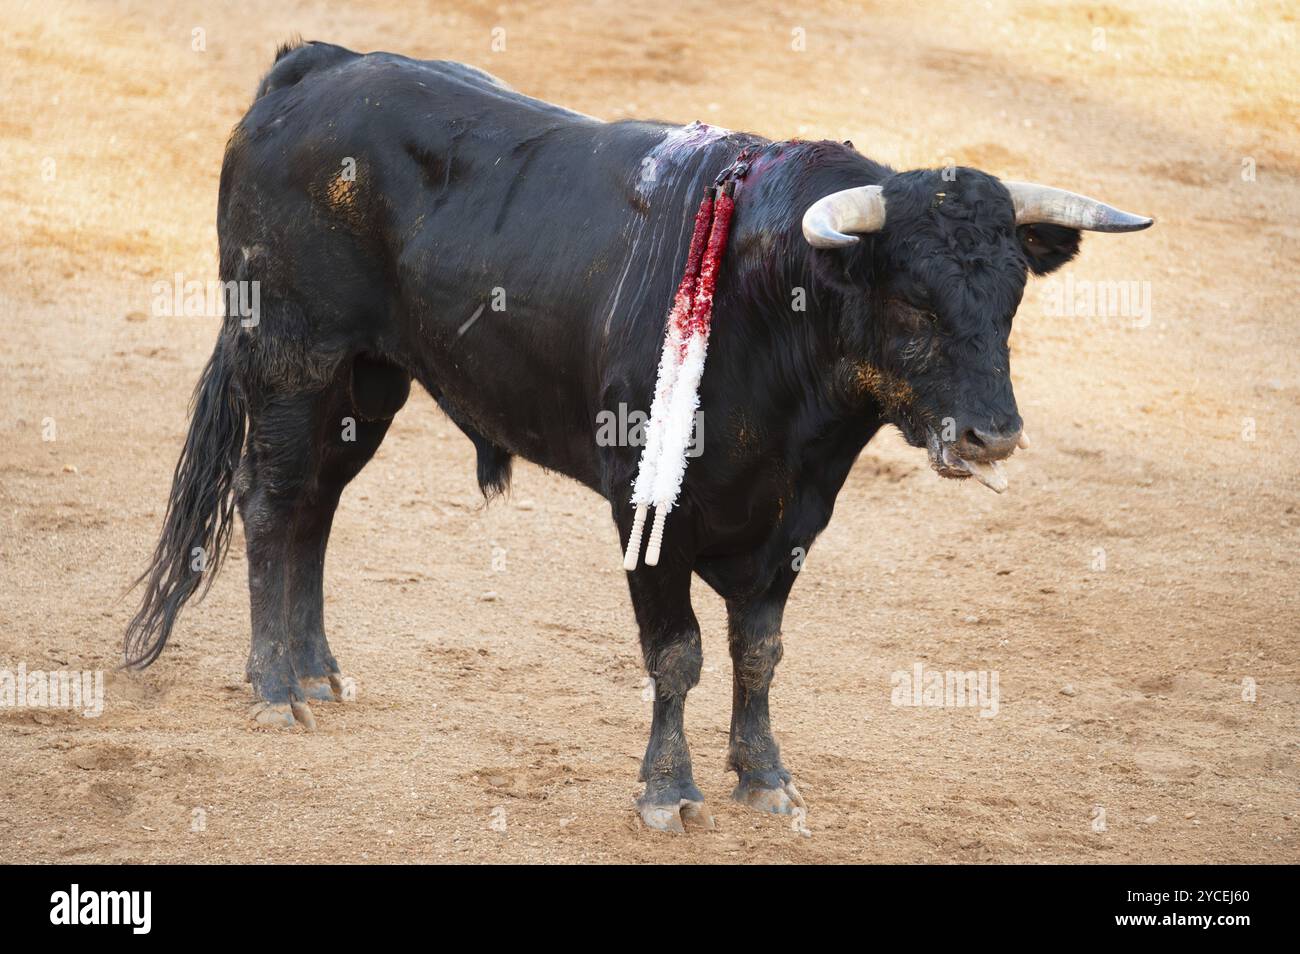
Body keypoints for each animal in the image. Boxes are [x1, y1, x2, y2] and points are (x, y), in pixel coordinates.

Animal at [126, 40, 1153, 832]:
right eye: (912, 301)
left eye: (1012, 297)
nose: (993, 435)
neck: (770, 310)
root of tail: (314, 67)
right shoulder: (645, 507)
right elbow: (679, 652)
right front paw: (669, 791)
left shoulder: (794, 523)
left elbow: (759, 651)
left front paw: (765, 779)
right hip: (291, 358)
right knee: (268, 503)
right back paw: (273, 689)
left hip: (367, 382)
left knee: (318, 506)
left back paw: (319, 672)